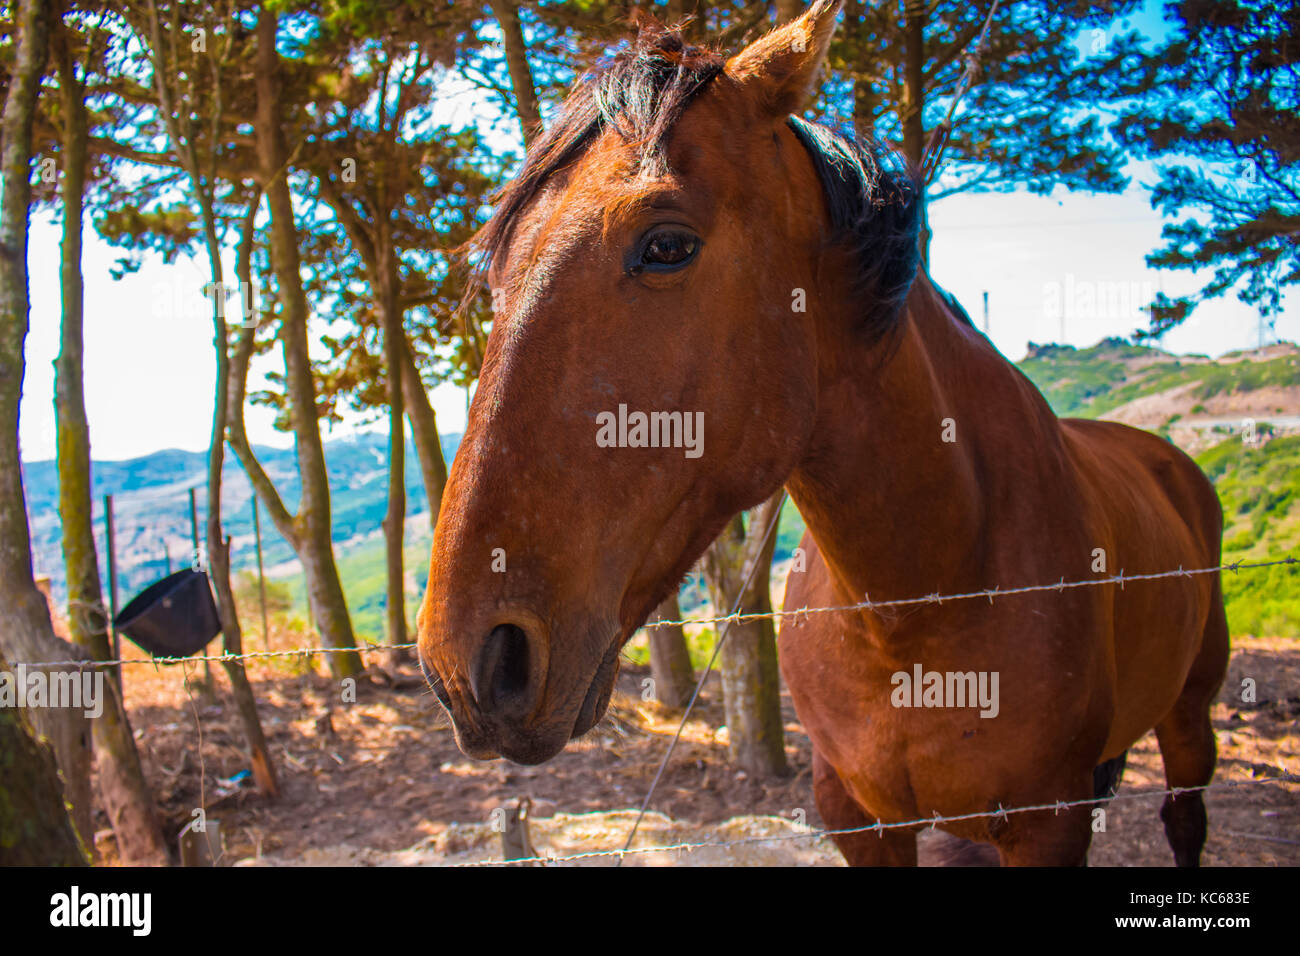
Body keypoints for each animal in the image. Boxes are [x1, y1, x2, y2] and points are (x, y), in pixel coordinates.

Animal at [416, 0, 1229, 866]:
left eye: (667, 244)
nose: (469, 666)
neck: (916, 604)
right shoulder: (852, 811)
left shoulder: (1052, 822)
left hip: (1190, 714)